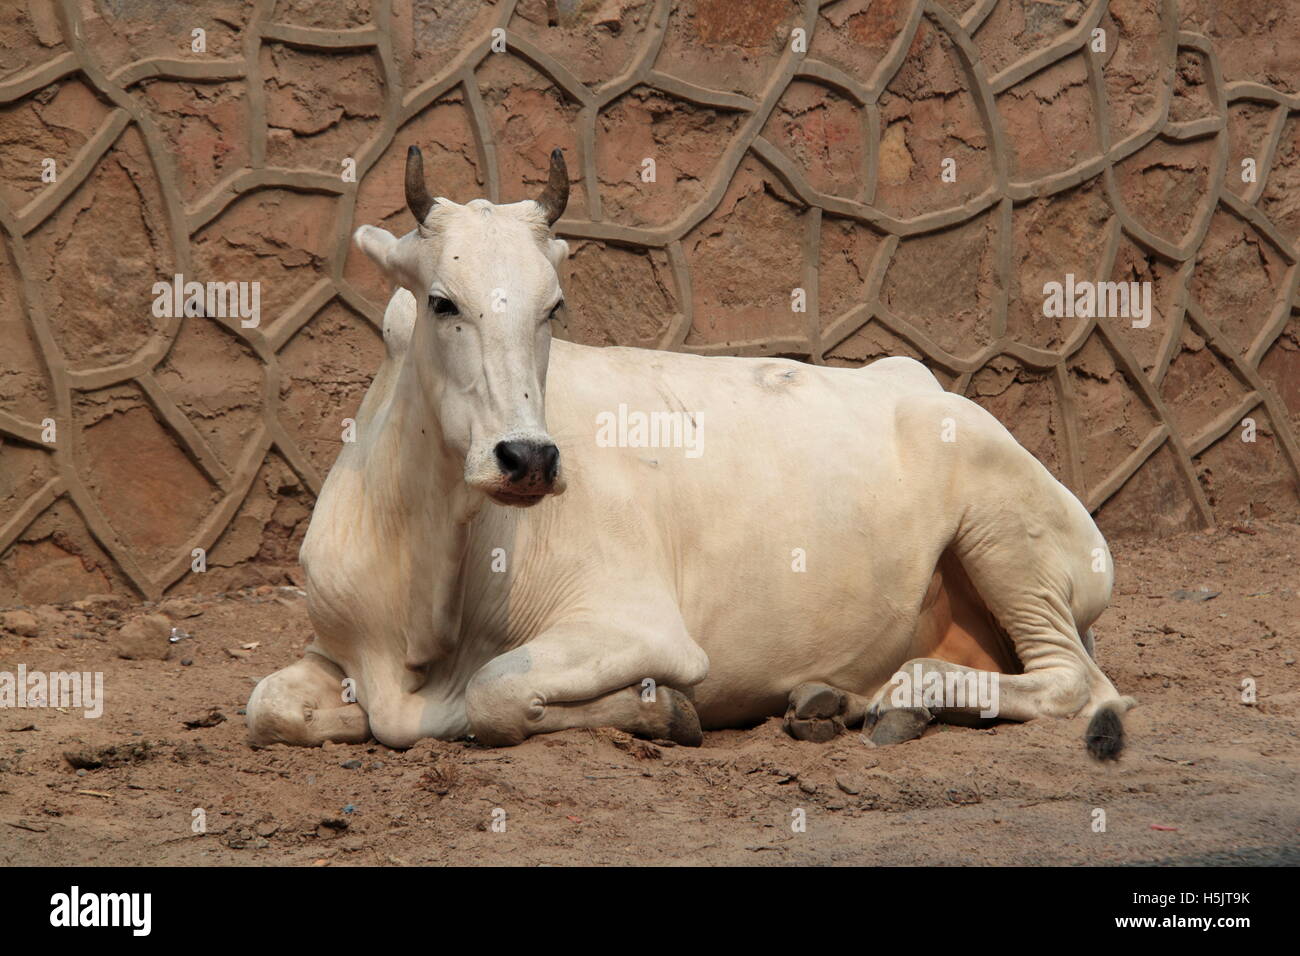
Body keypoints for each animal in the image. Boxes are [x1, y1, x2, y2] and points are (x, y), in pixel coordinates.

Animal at [246, 146, 1135, 760]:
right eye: (441, 302)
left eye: (553, 307)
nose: (528, 459)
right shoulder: (331, 643)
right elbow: (267, 705)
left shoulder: (642, 628)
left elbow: (490, 697)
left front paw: (661, 710)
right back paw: (838, 700)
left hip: (1009, 534)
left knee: (1077, 683)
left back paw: (903, 694)